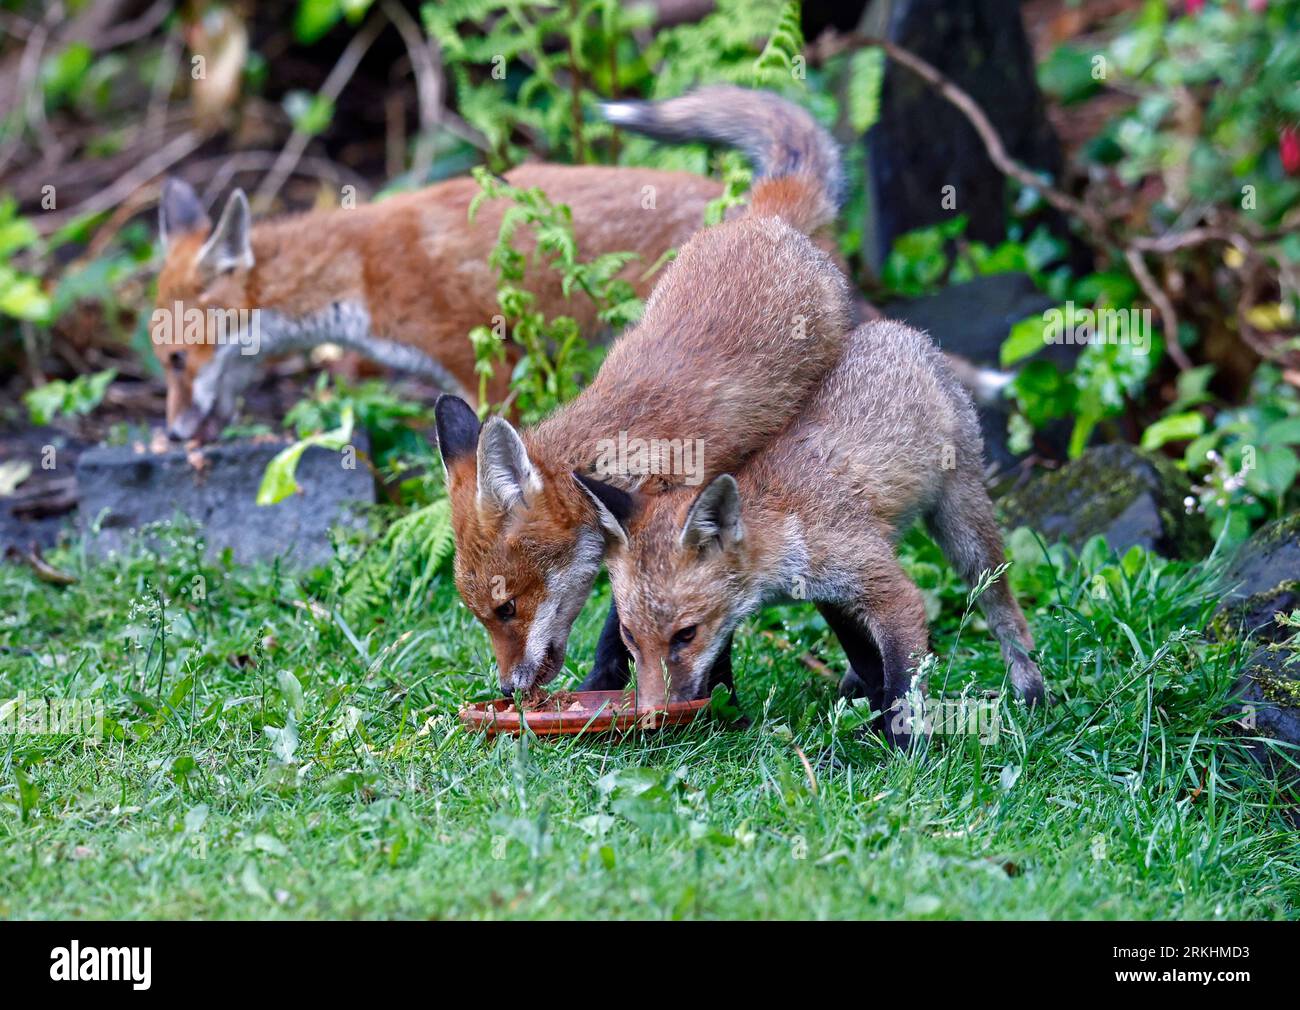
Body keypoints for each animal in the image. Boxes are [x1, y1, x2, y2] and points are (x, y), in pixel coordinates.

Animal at [435, 85, 851, 698]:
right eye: (480, 615)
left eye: (507, 608)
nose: (509, 691)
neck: (623, 453)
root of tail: (763, 218)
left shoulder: (690, 523)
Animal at [581, 319, 1046, 748]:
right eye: (628, 636)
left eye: (686, 635)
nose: (653, 717)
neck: (784, 533)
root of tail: (899, 328)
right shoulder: (832, 593)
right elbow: (868, 659)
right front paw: (871, 715)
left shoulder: (887, 587)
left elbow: (901, 682)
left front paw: (904, 754)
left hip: (963, 524)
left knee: (1005, 612)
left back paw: (1032, 689)